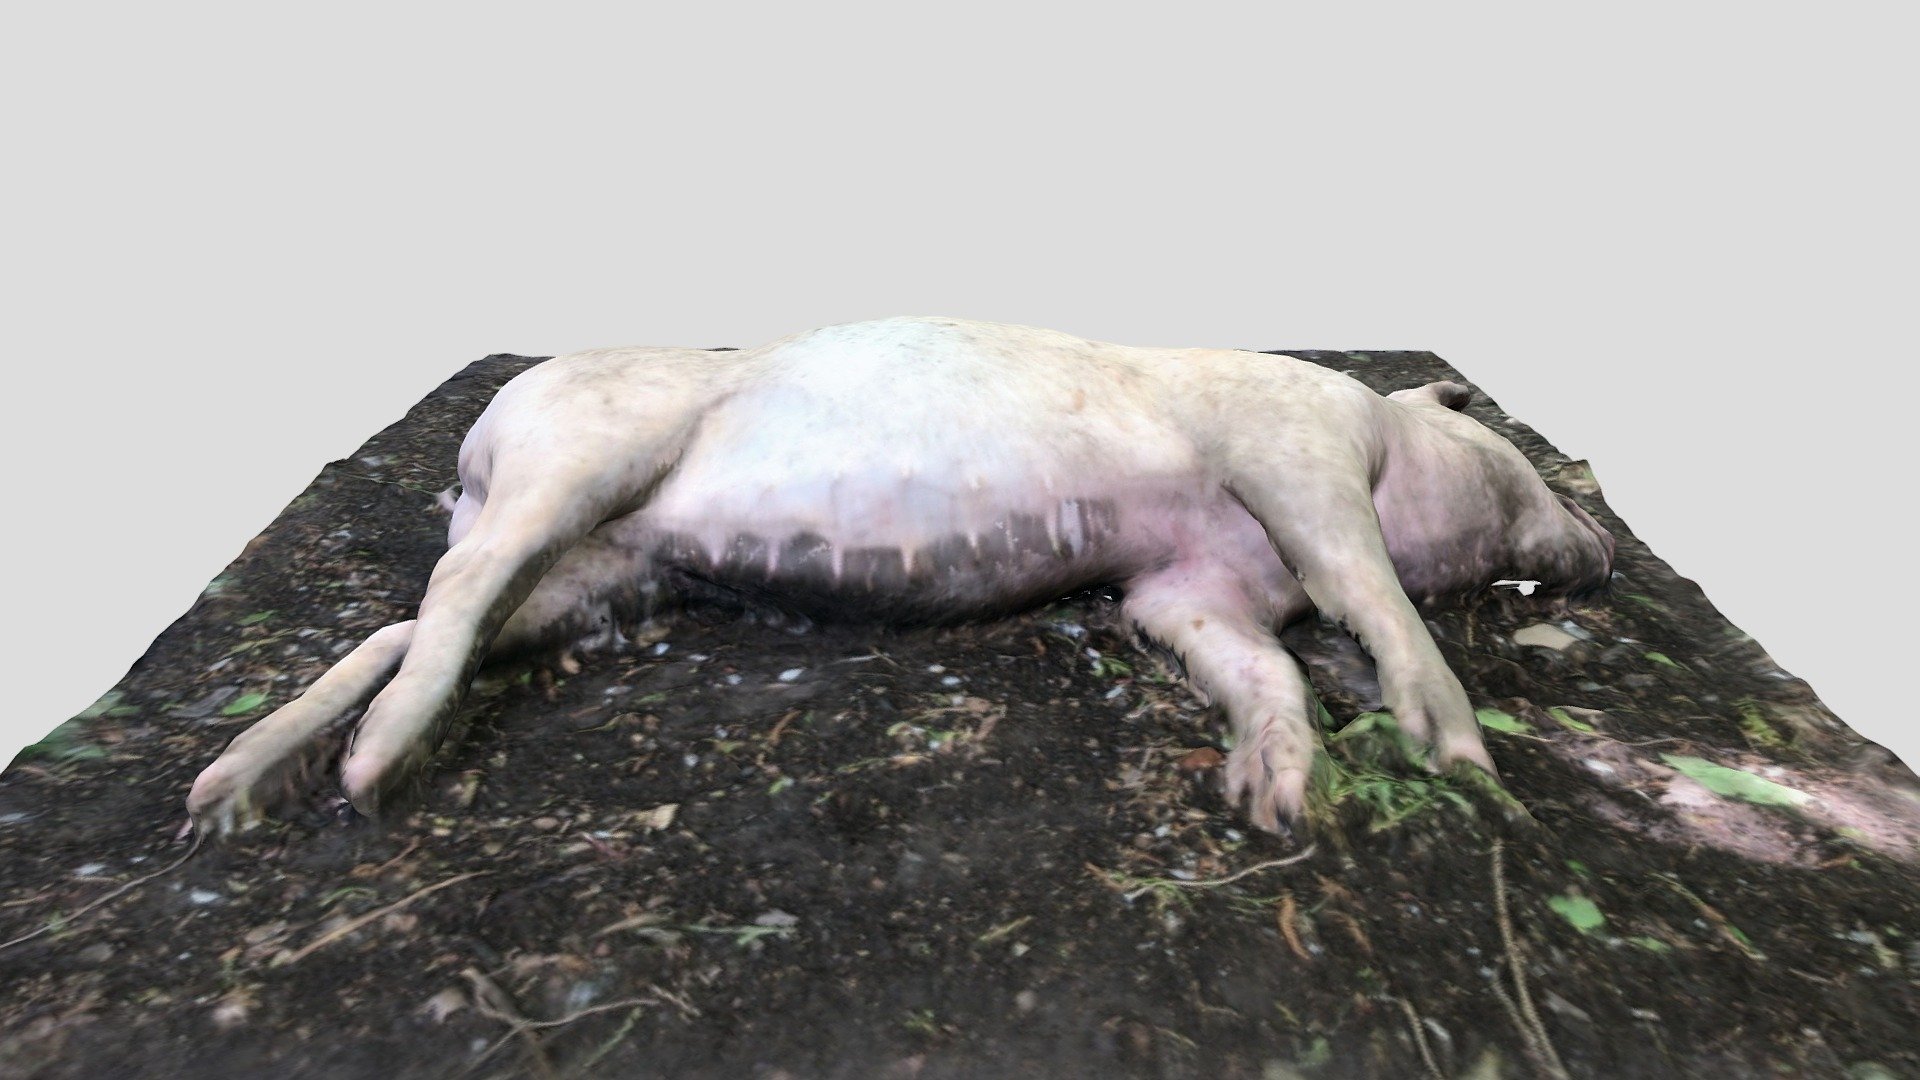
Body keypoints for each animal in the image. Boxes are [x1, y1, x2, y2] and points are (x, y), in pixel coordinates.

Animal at [187, 316, 1615, 836]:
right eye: (1523, 465)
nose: (1602, 555)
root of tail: (476, 444)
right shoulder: (1296, 450)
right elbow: (1370, 591)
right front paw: (1461, 760)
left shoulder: (1183, 590)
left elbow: (1256, 664)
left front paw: (1275, 804)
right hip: (573, 461)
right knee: (447, 603)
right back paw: (368, 777)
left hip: (609, 569)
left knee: (416, 623)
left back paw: (235, 796)